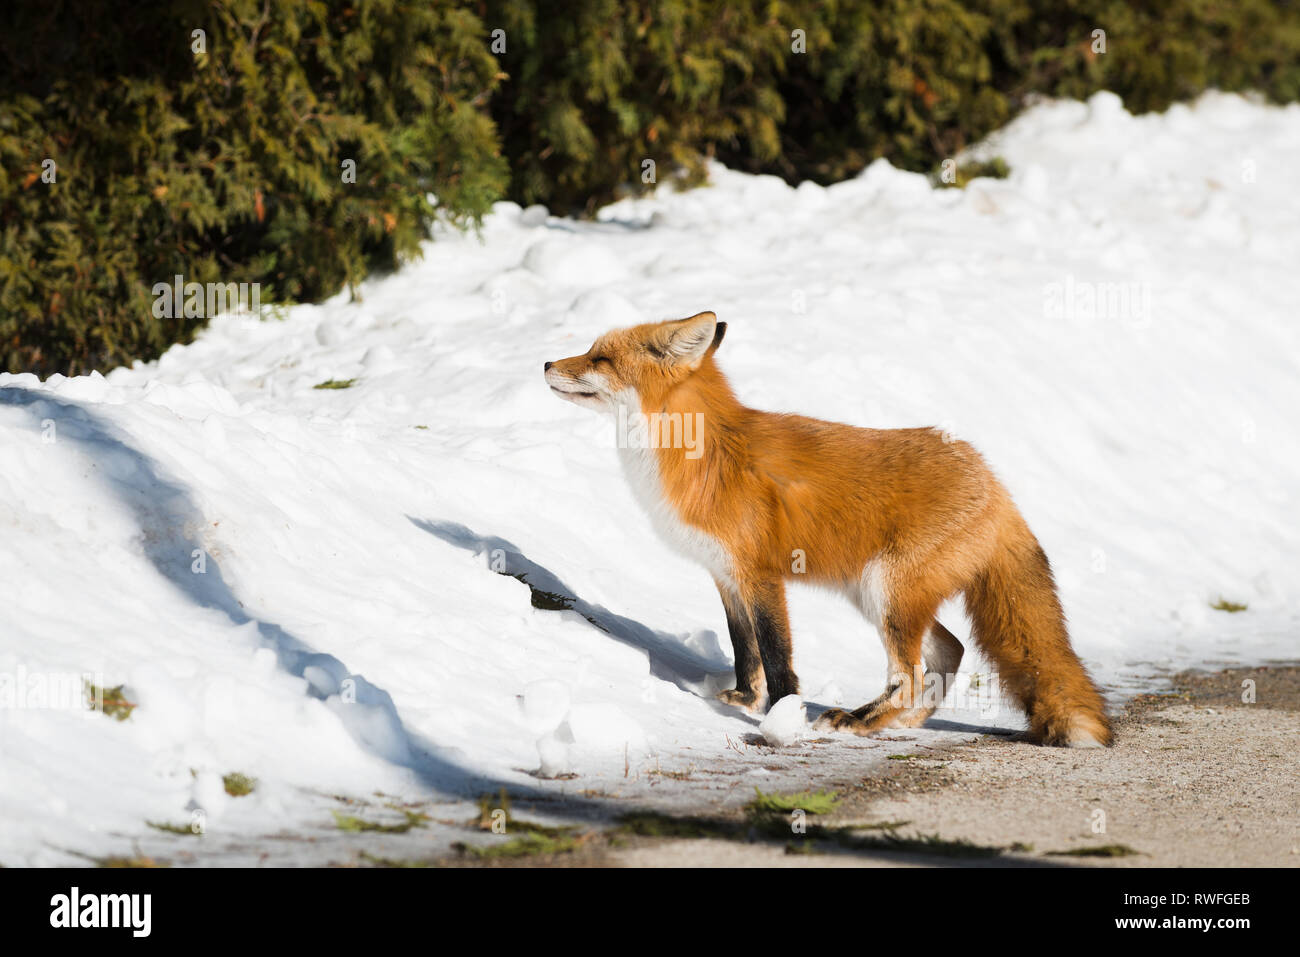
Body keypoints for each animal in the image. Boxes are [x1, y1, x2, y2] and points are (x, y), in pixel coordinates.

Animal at [544, 311, 1112, 747]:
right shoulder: (725, 574)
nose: (546, 363)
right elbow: (743, 645)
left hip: (886, 593)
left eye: (599, 359)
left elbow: (776, 655)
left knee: (910, 674)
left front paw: (778, 719)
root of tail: (992, 480)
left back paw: (861, 720)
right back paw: (893, 722)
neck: (701, 453)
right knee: (948, 651)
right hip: (879, 596)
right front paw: (742, 699)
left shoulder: (760, 573)